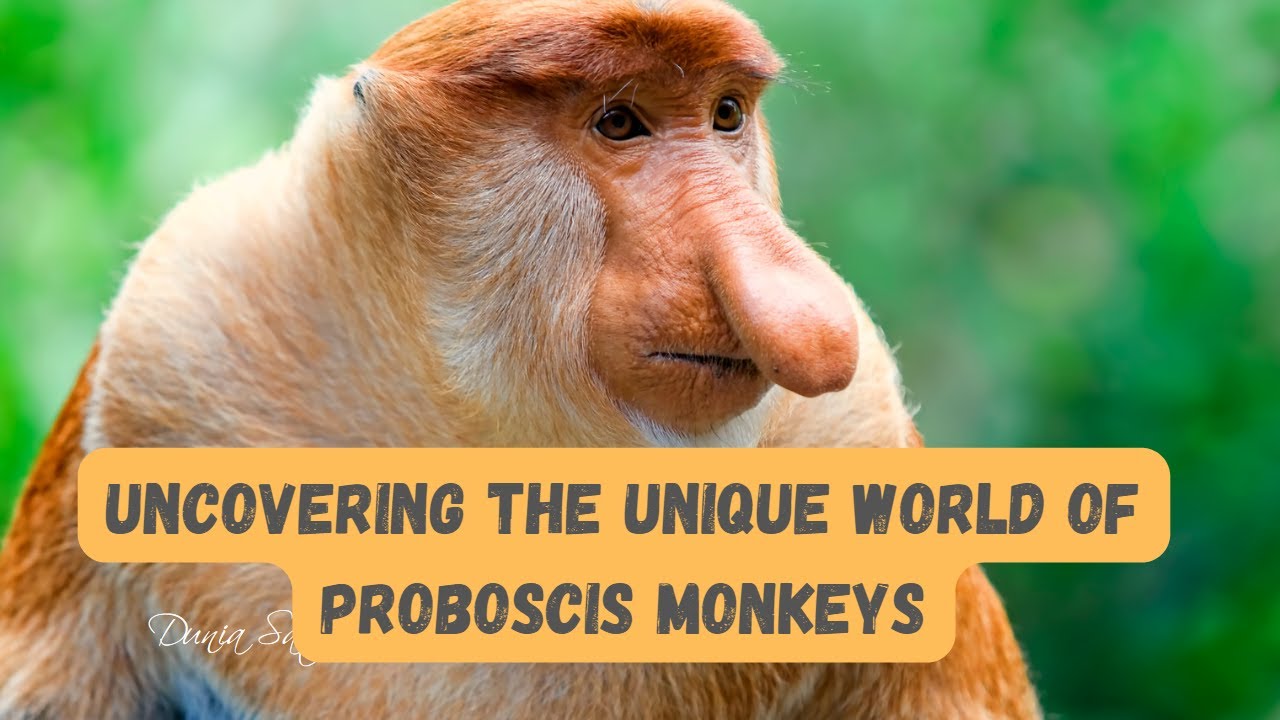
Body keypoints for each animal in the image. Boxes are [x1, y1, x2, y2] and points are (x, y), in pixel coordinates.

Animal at [0, 0, 1041, 717]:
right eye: (619, 121)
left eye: (726, 114)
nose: (809, 312)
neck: (497, 435)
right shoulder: (174, 339)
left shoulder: (852, 431)